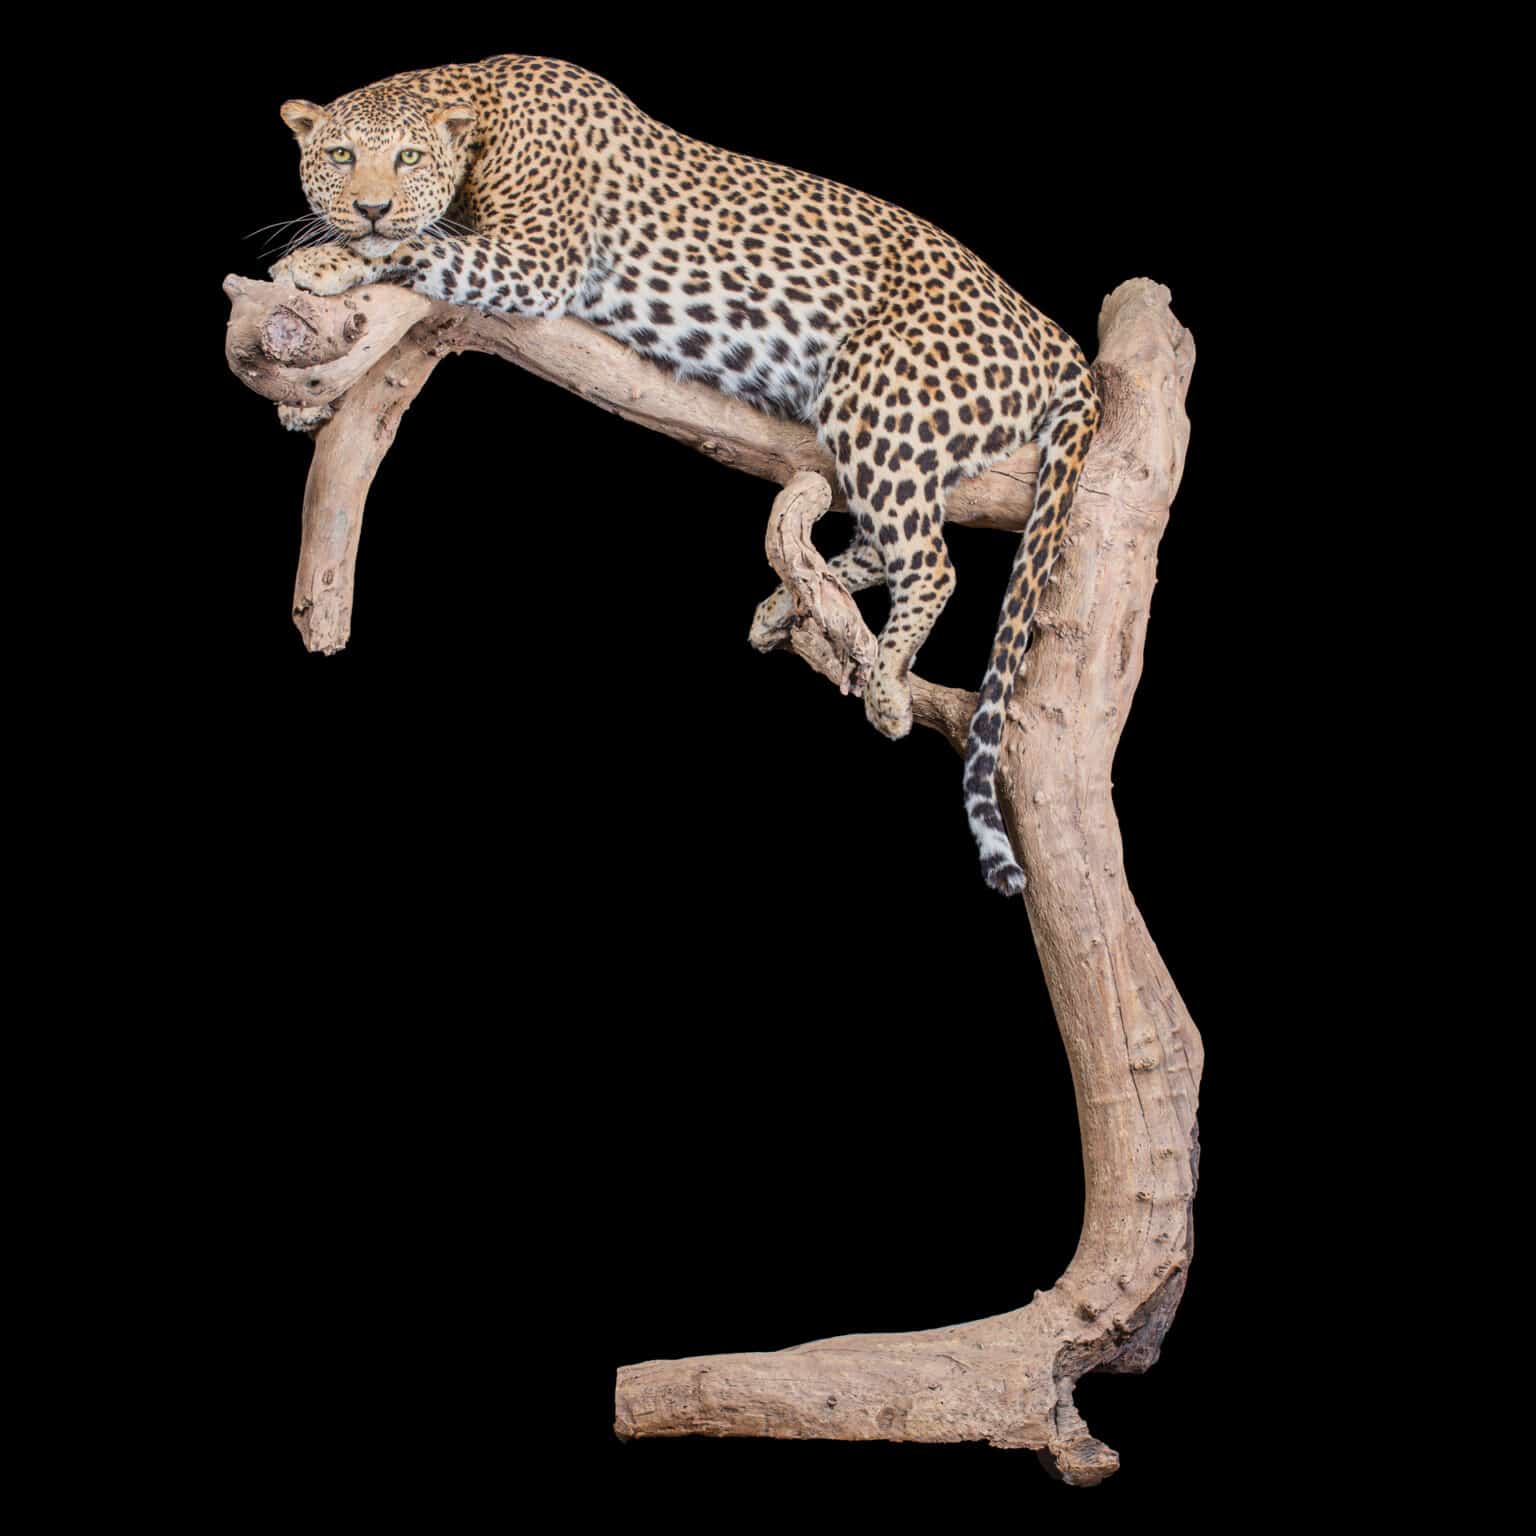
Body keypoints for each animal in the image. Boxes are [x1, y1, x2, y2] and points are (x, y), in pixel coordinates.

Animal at [270, 54, 1100, 897]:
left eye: (408, 158)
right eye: (339, 155)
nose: (371, 207)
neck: (478, 109)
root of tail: (1056, 336)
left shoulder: (536, 262)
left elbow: (422, 250)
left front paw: (321, 259)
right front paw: (307, 400)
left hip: (877, 397)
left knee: (930, 561)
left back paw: (887, 684)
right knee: (878, 536)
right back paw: (785, 609)